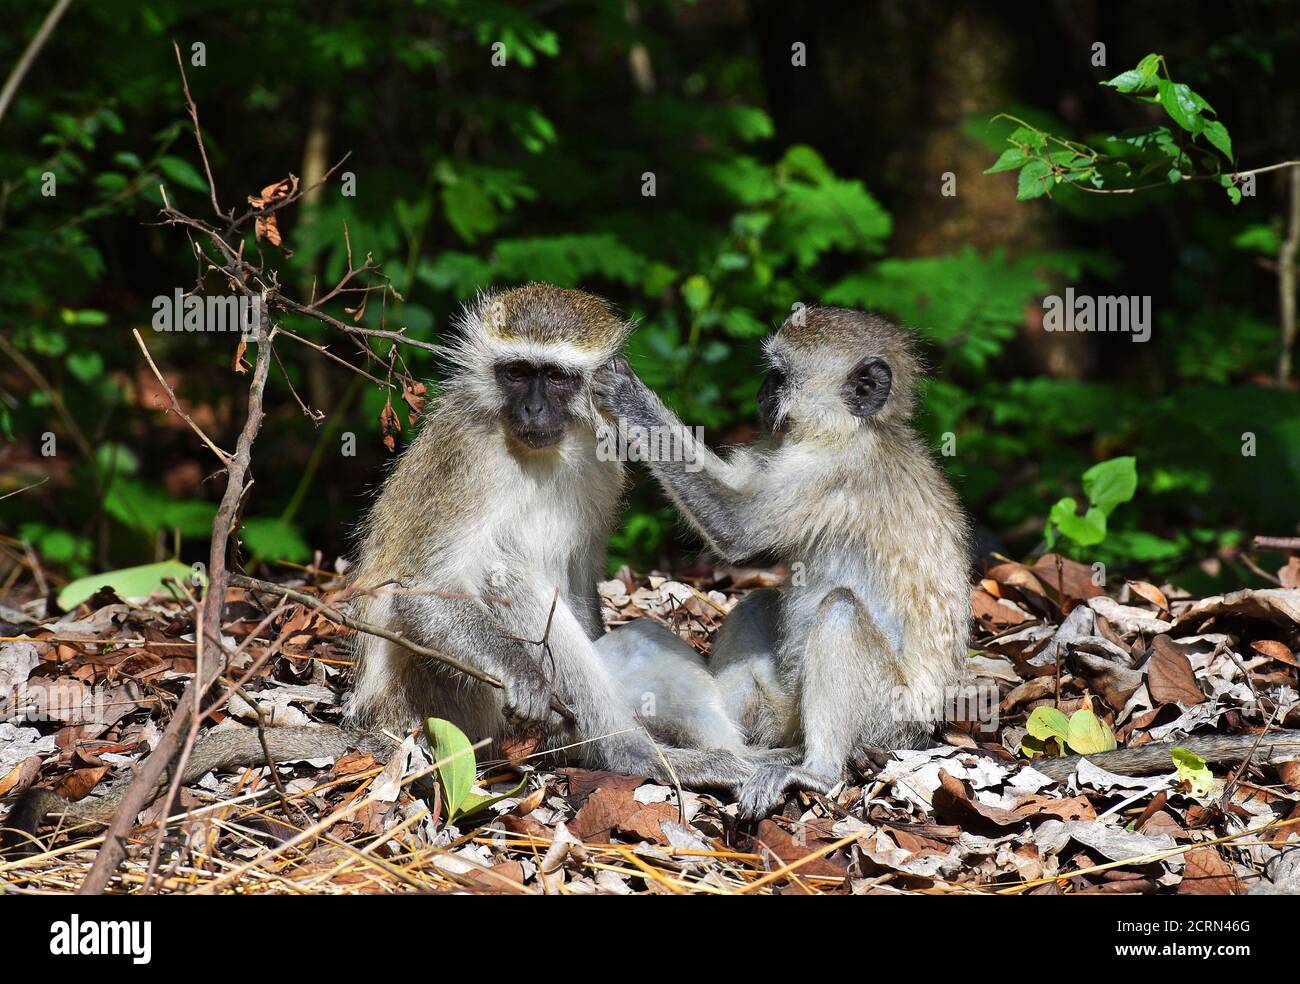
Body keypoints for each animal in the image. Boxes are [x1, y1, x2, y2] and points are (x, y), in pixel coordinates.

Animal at [2, 284, 758, 857]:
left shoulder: (601, 453)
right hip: (437, 708)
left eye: (558, 377)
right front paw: (529, 678)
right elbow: (419, 595)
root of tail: (372, 727)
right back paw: (626, 756)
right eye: (518, 372)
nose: (536, 409)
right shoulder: (466, 459)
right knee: (506, 581)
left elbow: (578, 579)